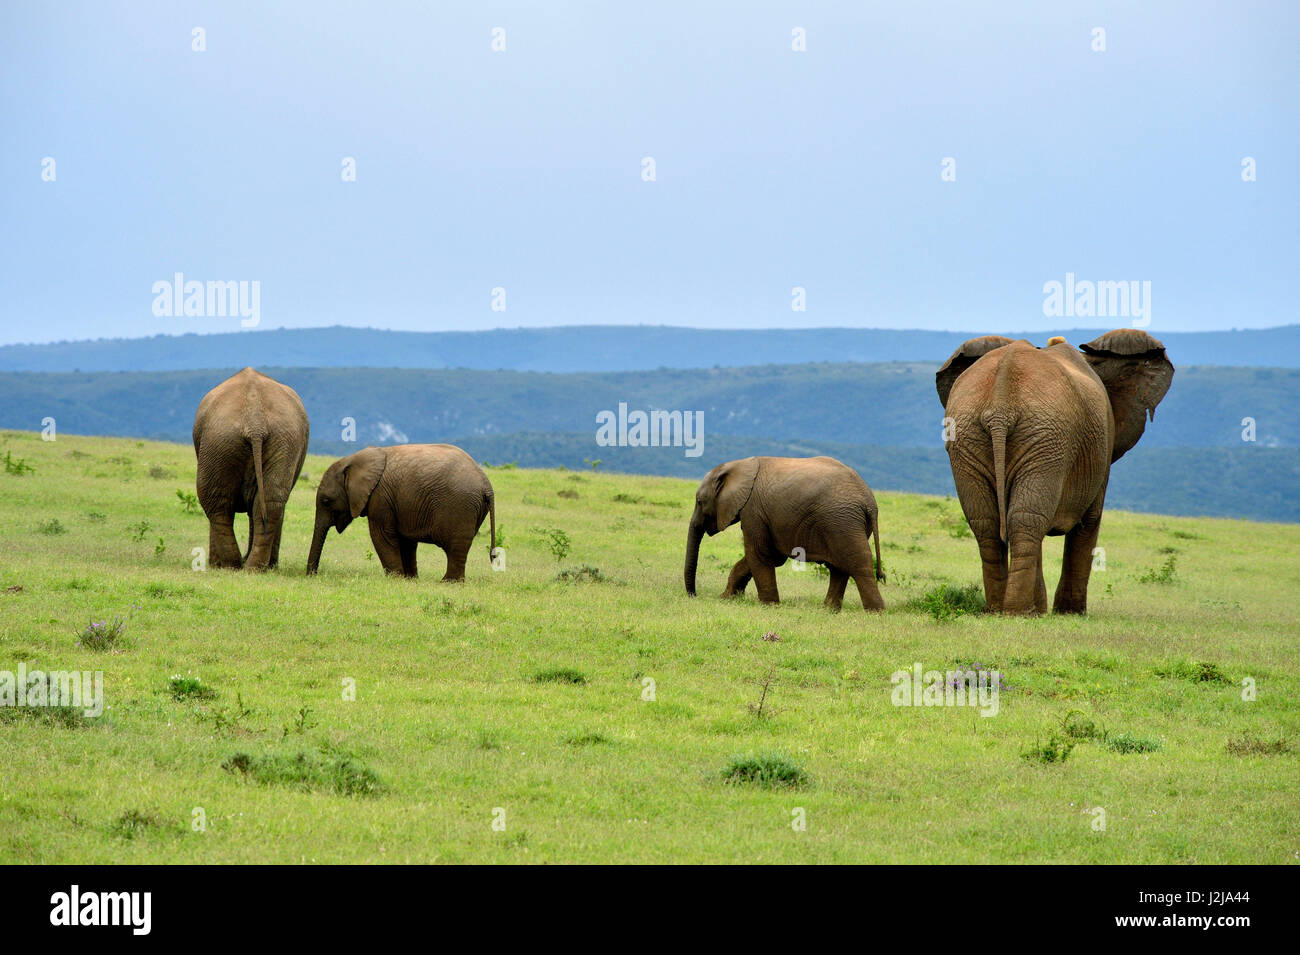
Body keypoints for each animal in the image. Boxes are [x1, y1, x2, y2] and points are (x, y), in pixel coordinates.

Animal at [193, 367, 310, 571]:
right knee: (271, 501)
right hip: (277, 440)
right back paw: (251, 567)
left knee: (215, 501)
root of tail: (255, 423)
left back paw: (233, 565)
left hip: (221, 440)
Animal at [306, 443, 496, 581]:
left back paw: (448, 582)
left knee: (456, 547)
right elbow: (406, 541)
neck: (353, 460)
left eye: (326, 501)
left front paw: (395, 578)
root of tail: (486, 484)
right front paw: (409, 579)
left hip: (460, 507)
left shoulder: (380, 497)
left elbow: (381, 535)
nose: (312, 575)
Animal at [684, 456, 885, 611]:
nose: (694, 595)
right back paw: (828, 610)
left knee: (857, 564)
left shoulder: (753, 510)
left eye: (700, 501)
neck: (738, 465)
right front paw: (726, 598)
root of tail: (870, 502)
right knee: (839, 567)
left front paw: (769, 606)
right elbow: (766, 556)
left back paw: (875, 612)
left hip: (842, 521)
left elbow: (759, 554)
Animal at [935, 329, 1174, 616]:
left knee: (993, 523)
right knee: (1026, 520)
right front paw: (1070, 613)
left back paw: (1000, 610)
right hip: (1044, 438)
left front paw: (1044, 610)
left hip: (971, 435)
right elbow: (1089, 522)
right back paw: (1018, 612)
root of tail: (1000, 405)